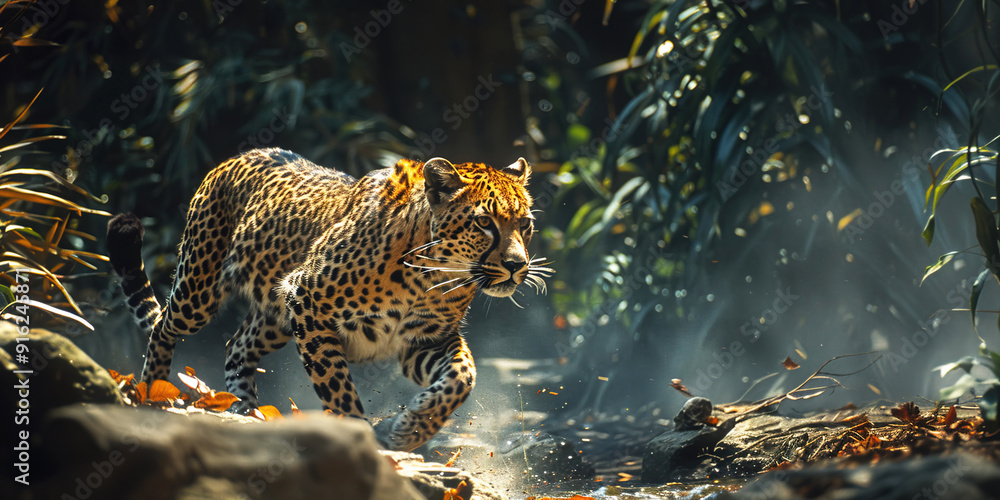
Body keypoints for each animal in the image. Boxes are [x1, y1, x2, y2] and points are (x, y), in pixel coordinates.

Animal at [106, 148, 551, 451]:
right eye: (484, 222)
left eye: (525, 224)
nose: (517, 265)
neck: (433, 276)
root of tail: (237, 155)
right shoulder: (307, 300)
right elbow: (338, 390)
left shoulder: (424, 341)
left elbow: (463, 377)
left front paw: (409, 428)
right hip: (200, 287)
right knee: (163, 326)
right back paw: (152, 392)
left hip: (273, 318)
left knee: (236, 346)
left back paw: (245, 410)